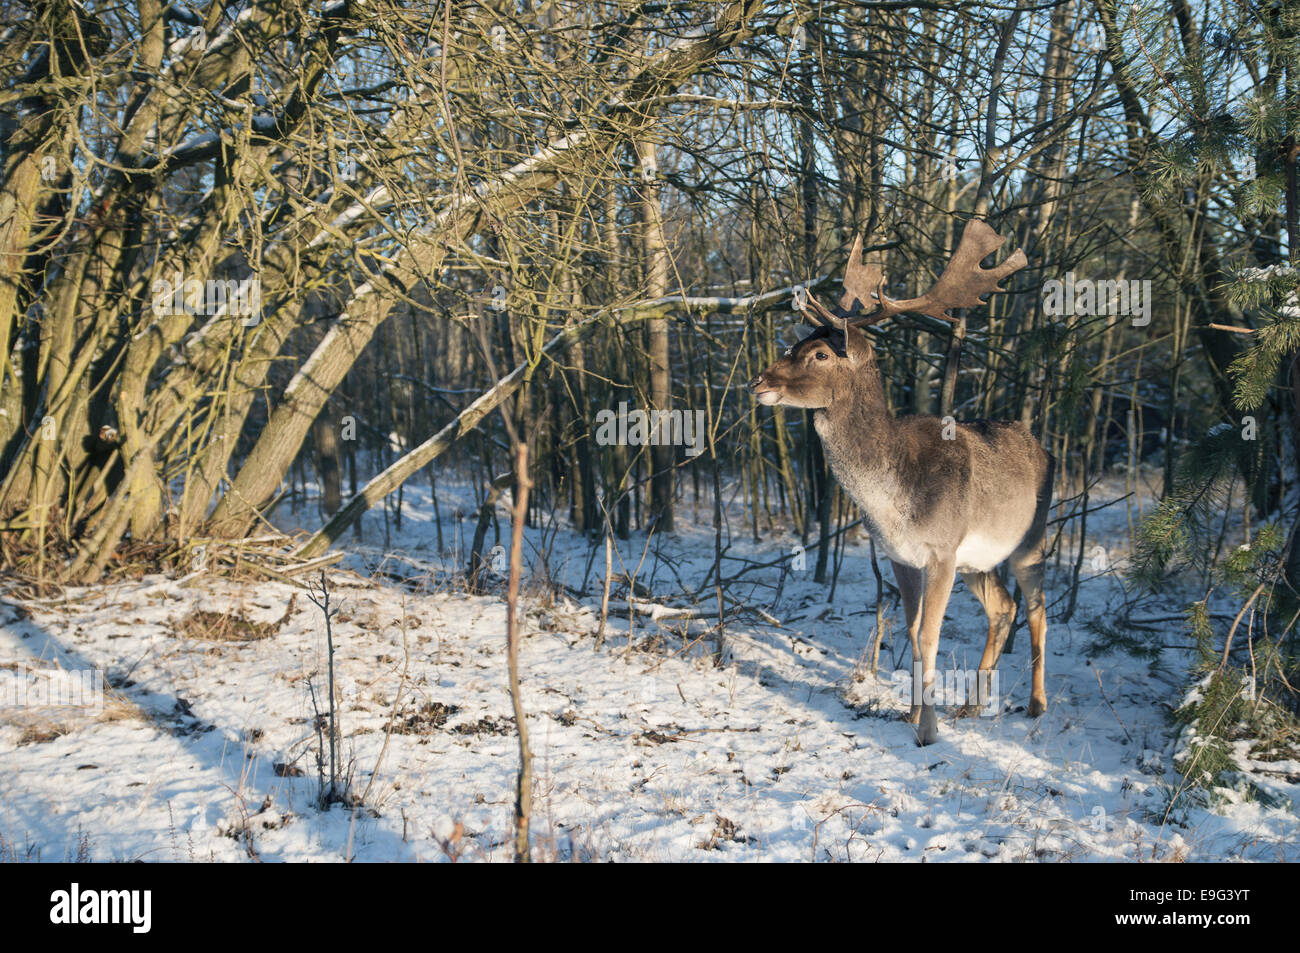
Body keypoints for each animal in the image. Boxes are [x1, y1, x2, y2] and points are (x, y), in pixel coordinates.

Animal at [748, 220, 1054, 745]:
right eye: (794, 344)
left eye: (820, 353)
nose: (759, 382)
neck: (892, 501)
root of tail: (1047, 449)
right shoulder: (900, 556)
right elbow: (909, 631)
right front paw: (911, 715)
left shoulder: (943, 550)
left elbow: (929, 635)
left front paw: (927, 731)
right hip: (979, 562)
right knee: (1003, 608)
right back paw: (973, 705)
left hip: (1030, 539)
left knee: (1038, 606)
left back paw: (1037, 704)